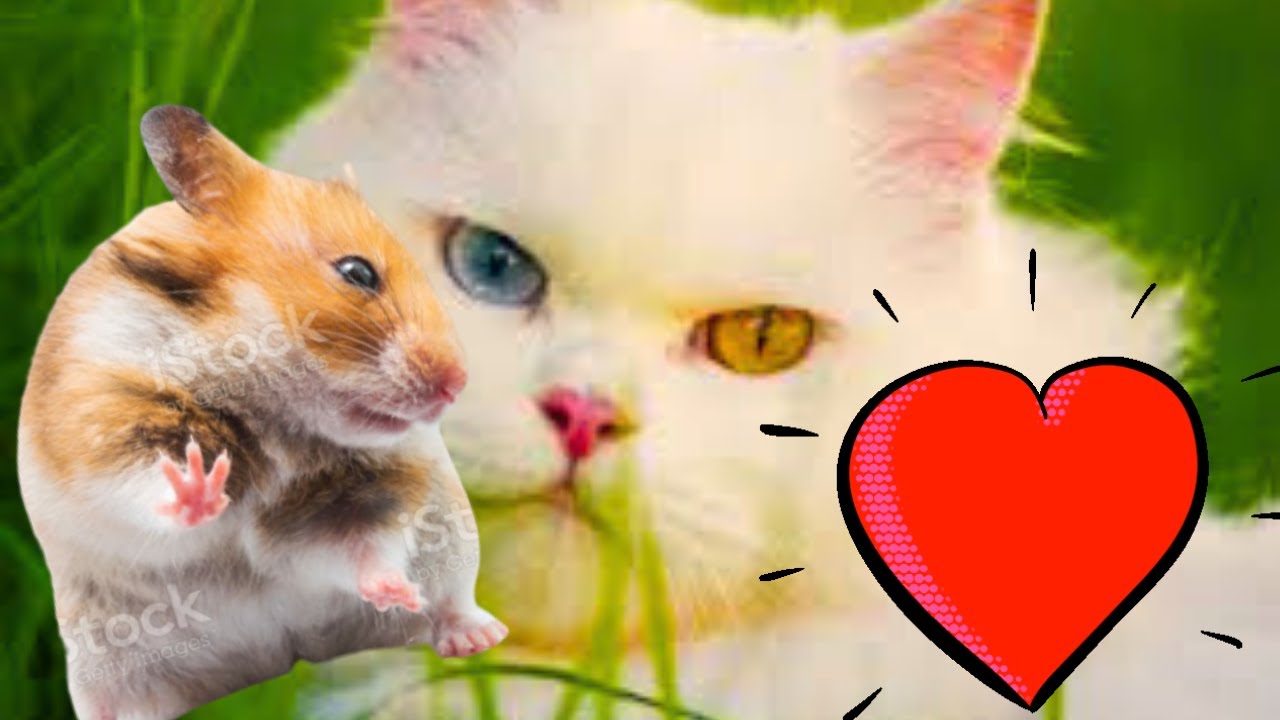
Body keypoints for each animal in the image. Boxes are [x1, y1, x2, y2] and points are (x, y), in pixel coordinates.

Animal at [17, 106, 507, 720]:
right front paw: (201, 487)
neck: (274, 418)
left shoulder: (358, 496)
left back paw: (477, 634)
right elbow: (143, 488)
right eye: (357, 272)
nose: (456, 384)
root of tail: (281, 657)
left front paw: (397, 591)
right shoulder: (104, 420)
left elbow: (360, 546)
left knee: (448, 608)